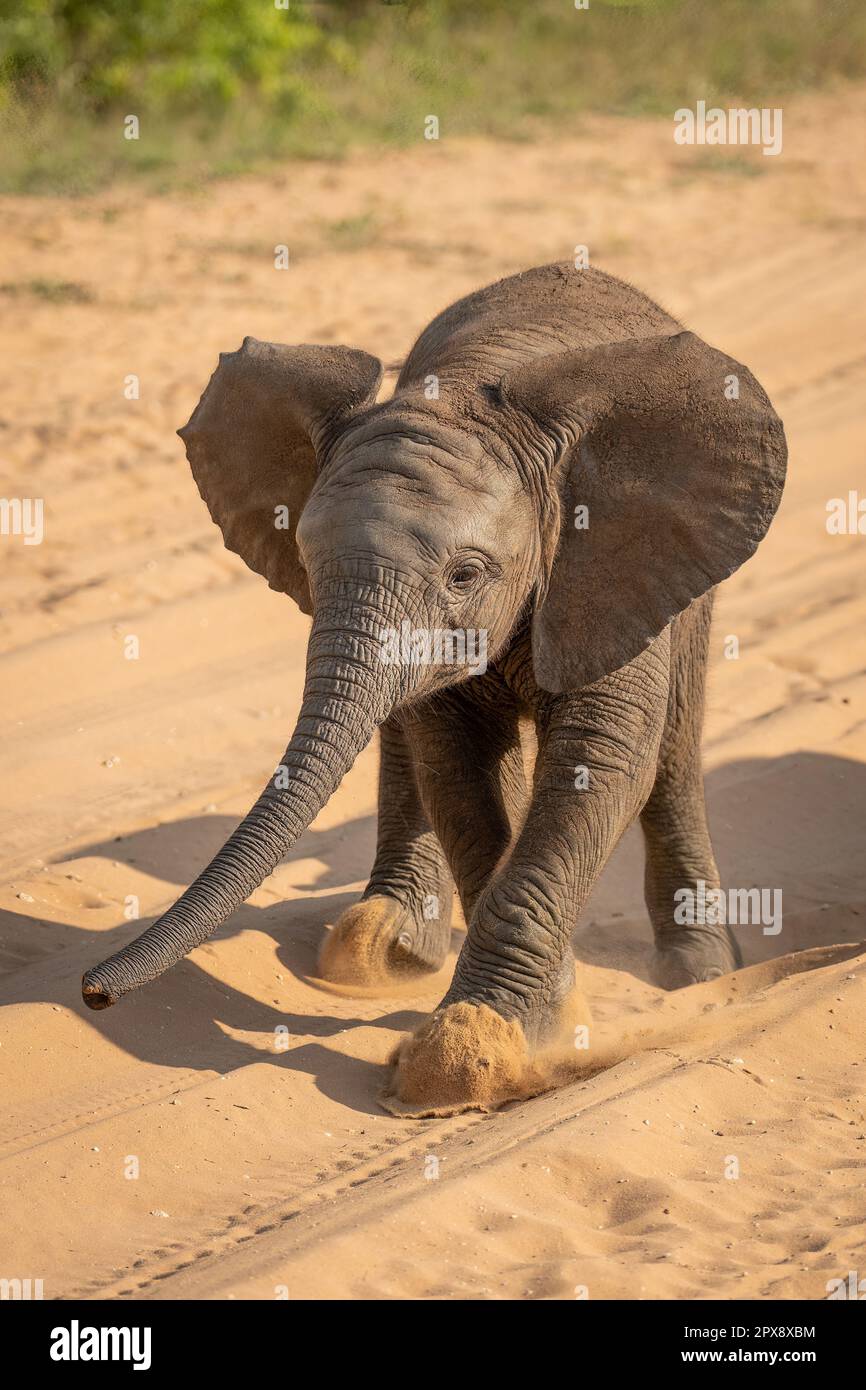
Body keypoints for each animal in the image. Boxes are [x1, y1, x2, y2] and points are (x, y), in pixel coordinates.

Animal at [82, 262, 787, 1111]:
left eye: (465, 575)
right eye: (307, 560)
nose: (93, 992)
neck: (468, 388)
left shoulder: (610, 556)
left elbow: (605, 757)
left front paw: (468, 1054)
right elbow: (456, 767)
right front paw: (532, 1024)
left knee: (675, 747)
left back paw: (697, 972)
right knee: (406, 736)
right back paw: (378, 952)